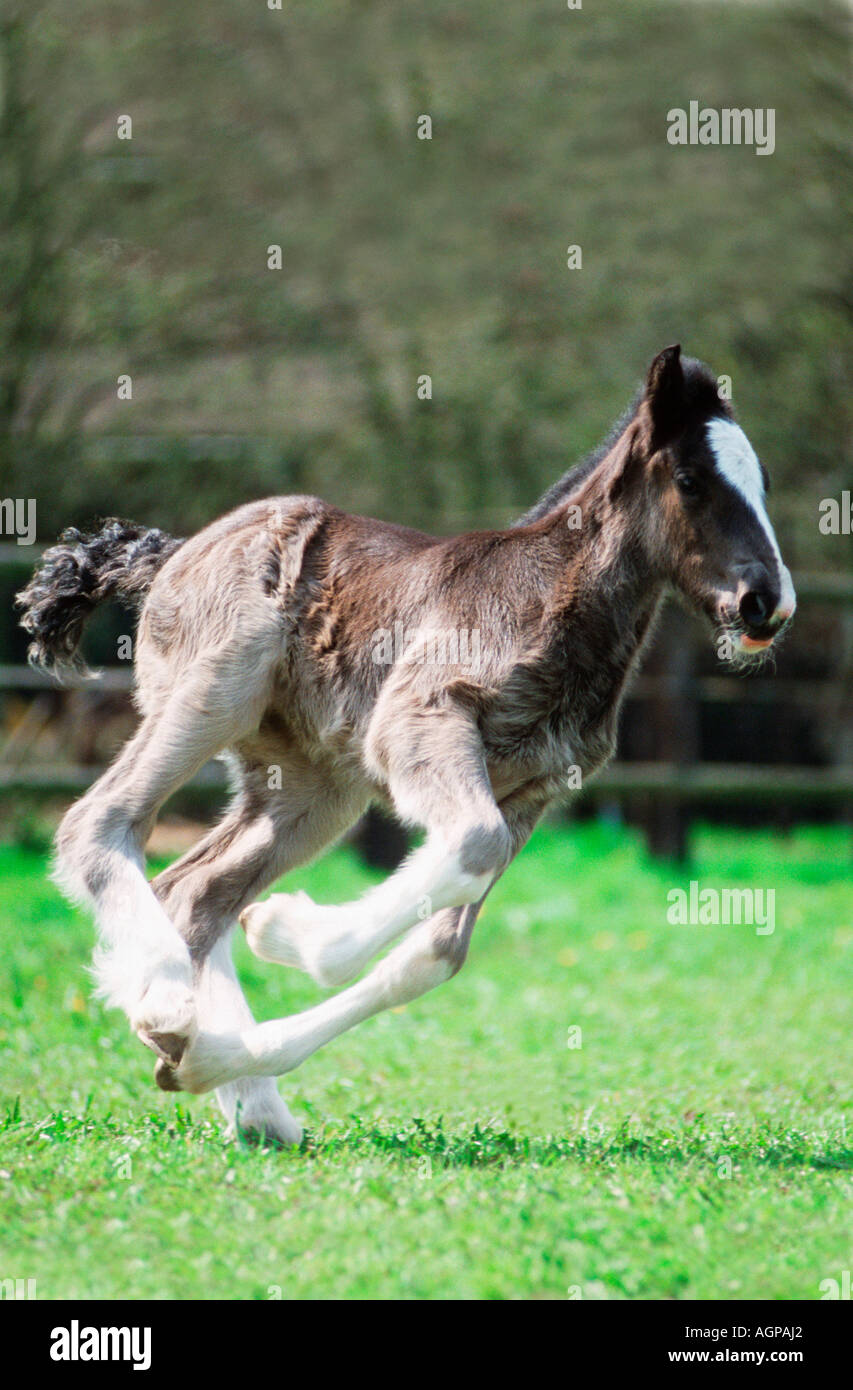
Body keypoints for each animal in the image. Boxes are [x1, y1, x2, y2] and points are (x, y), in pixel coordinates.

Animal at [17, 345, 796, 1144]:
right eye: (690, 480)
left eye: (761, 484)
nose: (767, 604)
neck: (553, 599)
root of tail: (170, 553)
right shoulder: (422, 720)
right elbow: (471, 845)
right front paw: (293, 934)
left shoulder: (534, 790)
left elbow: (437, 950)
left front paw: (218, 1043)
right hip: (216, 691)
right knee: (98, 822)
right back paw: (168, 998)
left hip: (313, 790)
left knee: (197, 892)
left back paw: (241, 1091)